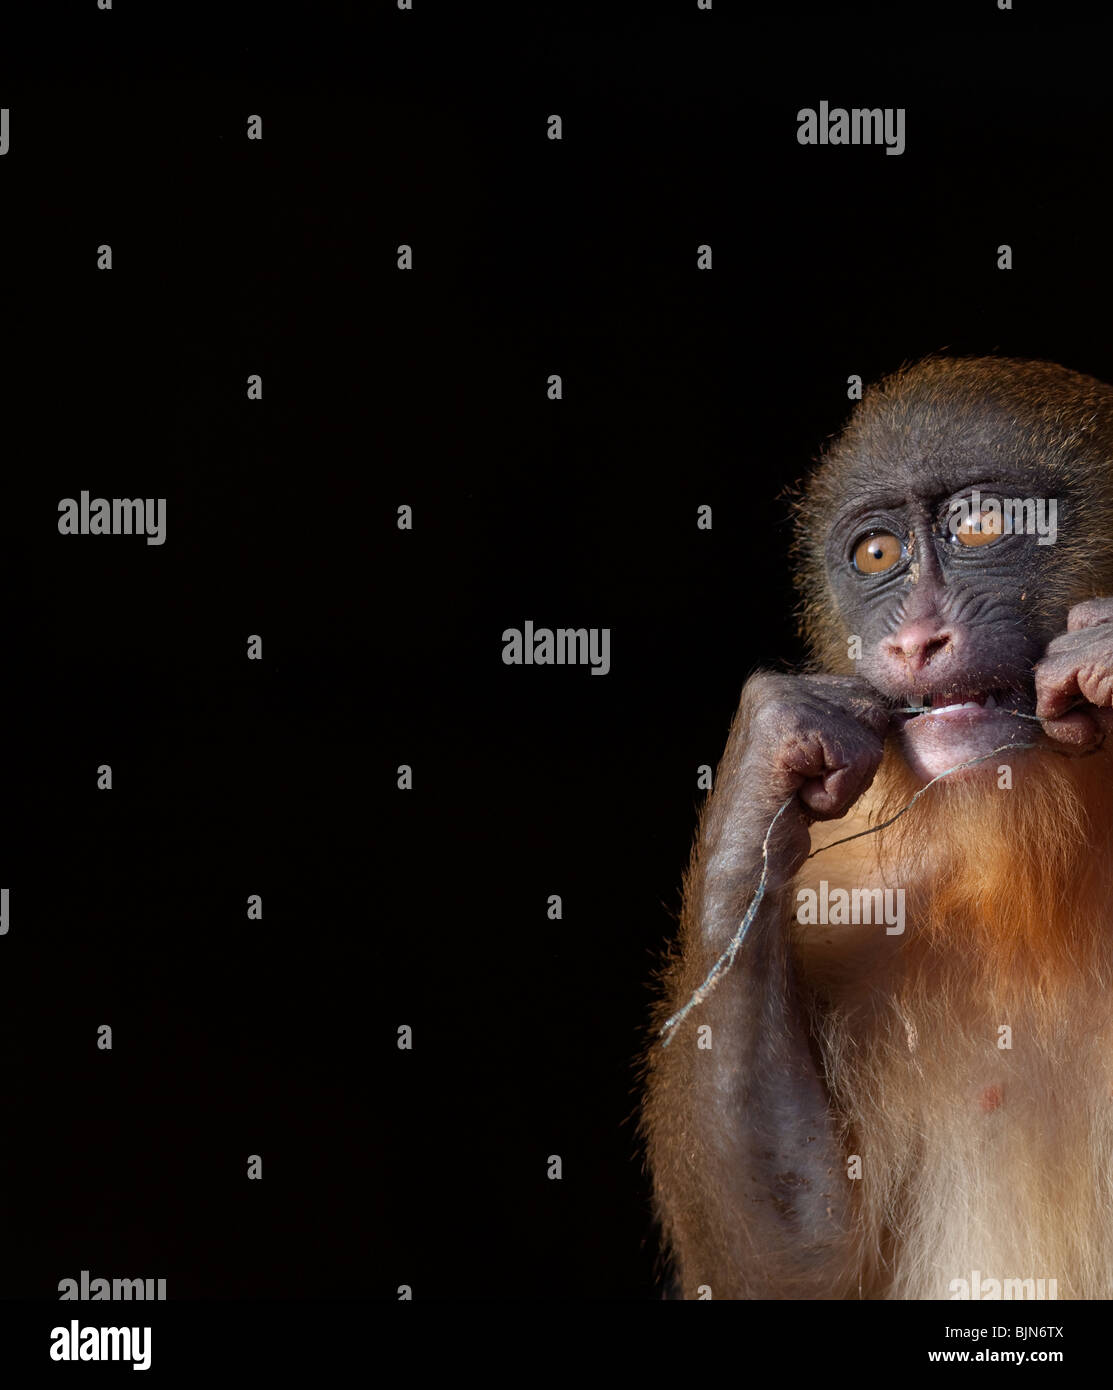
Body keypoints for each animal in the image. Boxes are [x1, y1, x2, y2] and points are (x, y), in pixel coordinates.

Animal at [642, 356, 1113, 1300]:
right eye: (876, 555)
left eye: (979, 527)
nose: (913, 644)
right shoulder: (846, 889)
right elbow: (801, 1257)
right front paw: (766, 769)